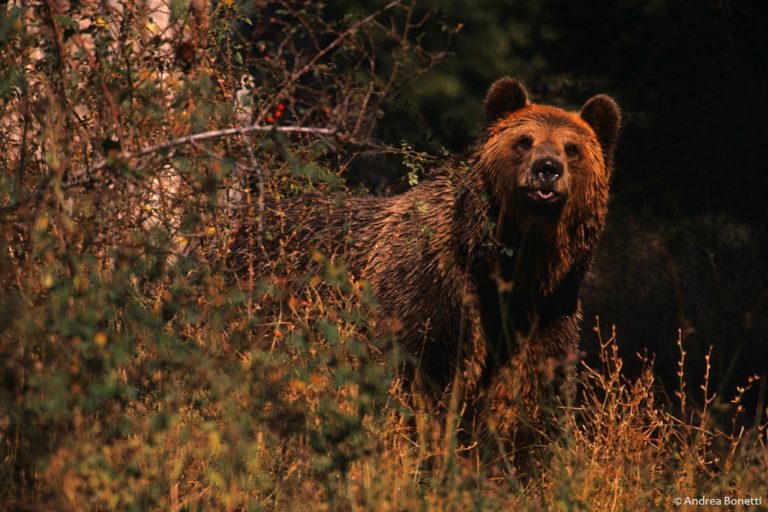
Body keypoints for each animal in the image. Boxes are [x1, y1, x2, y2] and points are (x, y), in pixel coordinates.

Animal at [231, 77, 621, 462]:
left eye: (572, 148)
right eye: (524, 140)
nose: (547, 169)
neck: (507, 267)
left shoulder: (548, 310)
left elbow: (534, 395)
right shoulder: (434, 288)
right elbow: (423, 378)